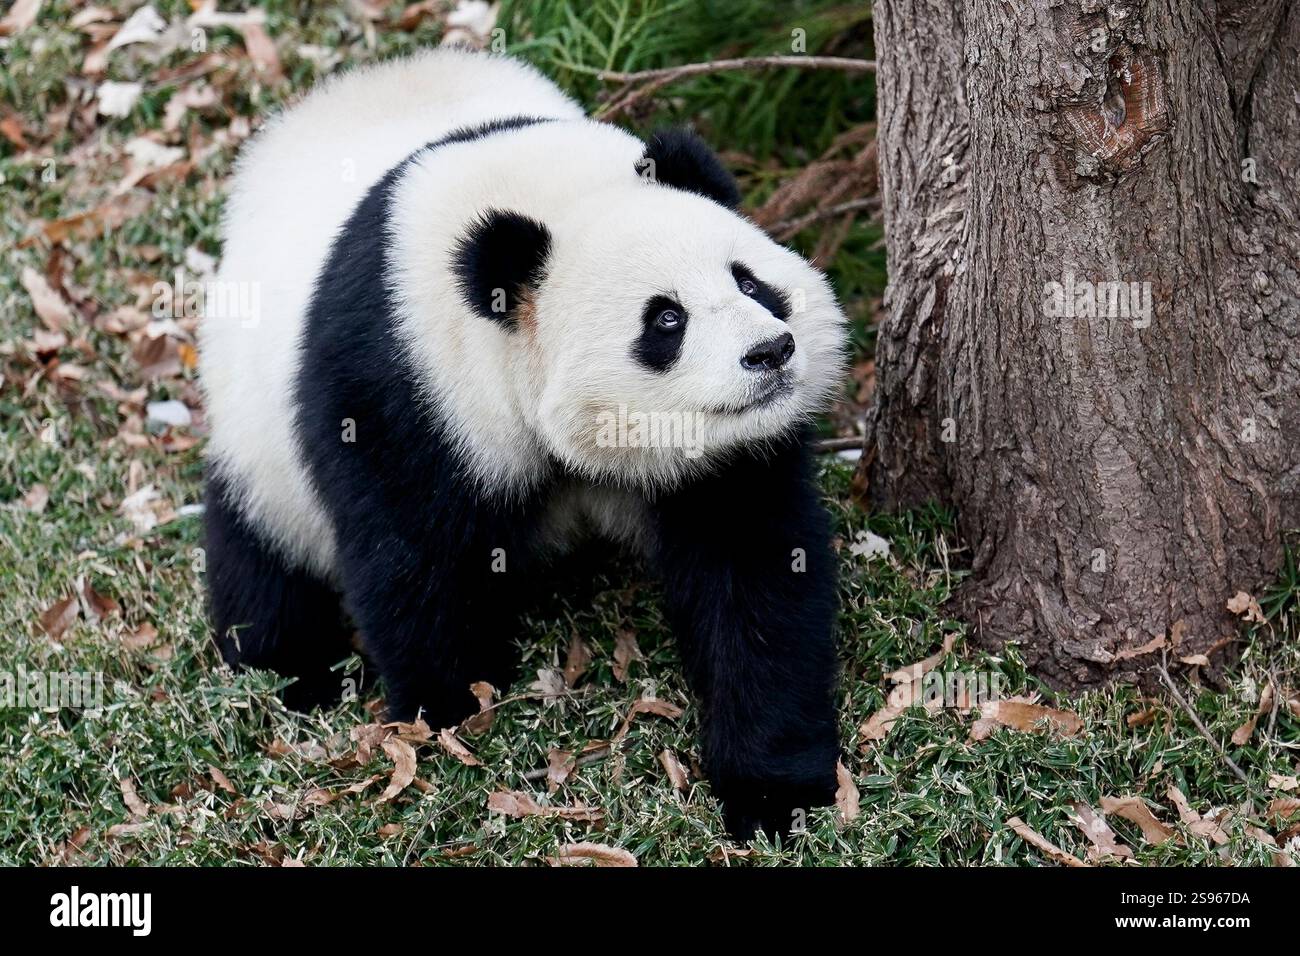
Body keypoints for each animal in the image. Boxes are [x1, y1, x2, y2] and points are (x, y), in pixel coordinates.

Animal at [199, 48, 849, 839]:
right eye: (666, 319)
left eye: (751, 282)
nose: (771, 352)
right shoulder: (404, 381)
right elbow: (411, 558)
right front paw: (449, 709)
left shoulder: (727, 457)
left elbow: (753, 575)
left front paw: (771, 793)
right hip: (257, 432)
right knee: (258, 556)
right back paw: (292, 670)